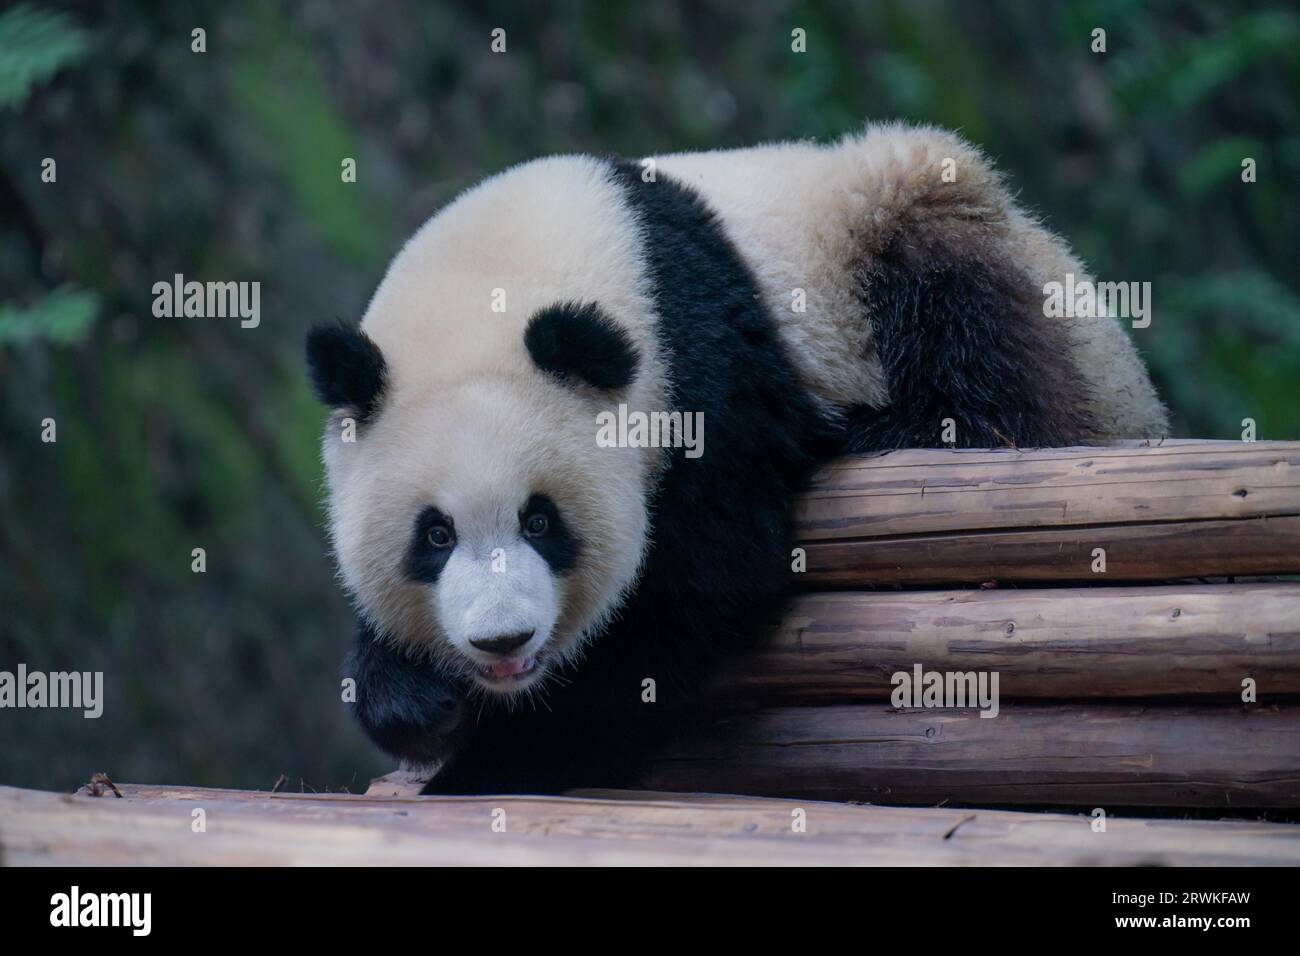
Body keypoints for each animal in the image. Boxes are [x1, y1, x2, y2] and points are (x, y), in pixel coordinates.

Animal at [306, 122, 1168, 793]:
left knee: (980, 345)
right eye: (435, 534)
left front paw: (503, 764)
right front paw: (413, 699)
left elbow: (703, 585)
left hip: (902, 226)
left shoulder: (706, 369)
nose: (502, 642)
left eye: (542, 522)